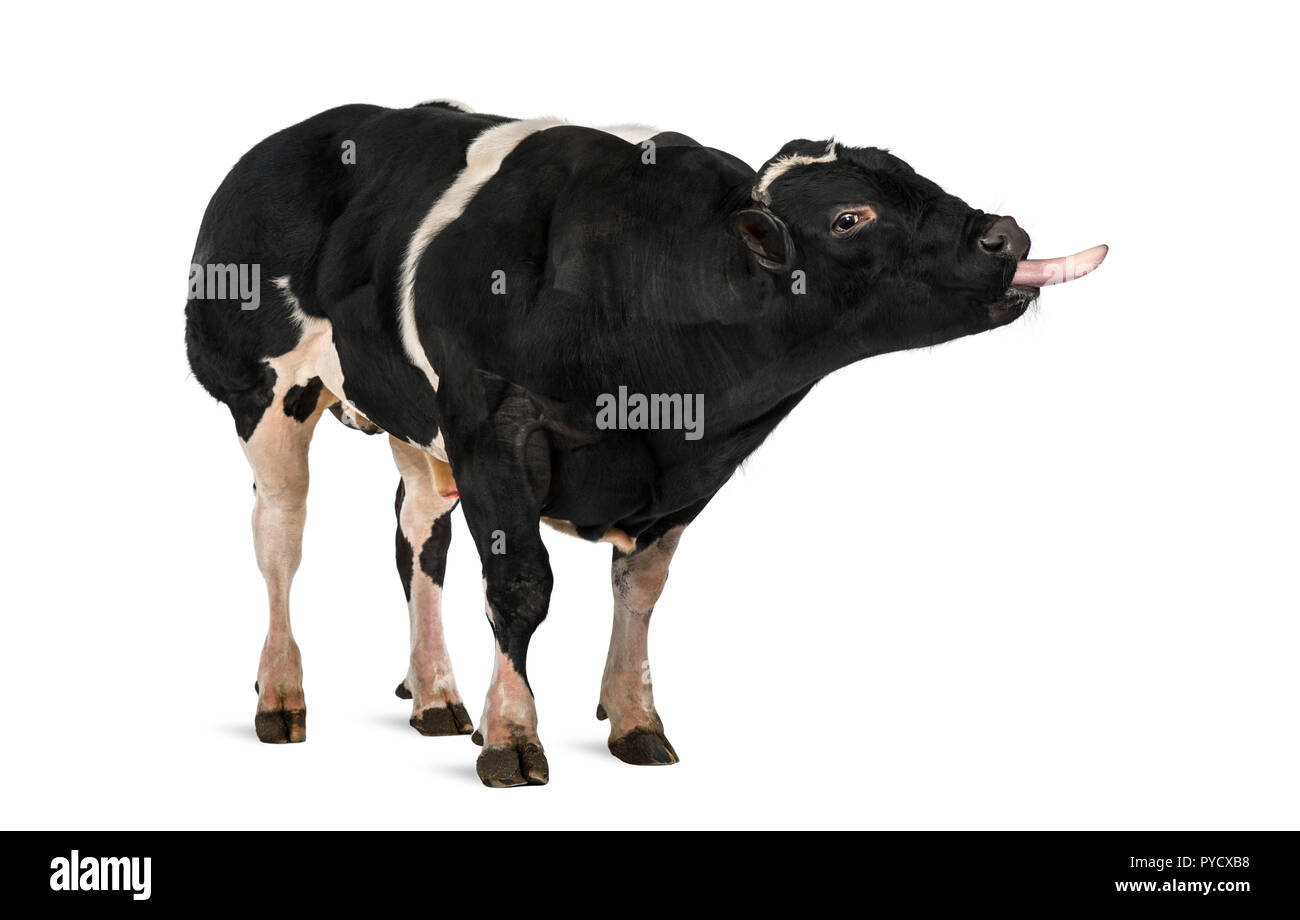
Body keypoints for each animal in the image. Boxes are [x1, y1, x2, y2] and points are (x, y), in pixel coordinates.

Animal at [185, 99, 1107, 787]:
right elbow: (521, 586)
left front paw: (633, 720)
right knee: (280, 536)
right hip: (262, 393)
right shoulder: (490, 423)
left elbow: (641, 590)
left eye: (919, 178)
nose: (1004, 235)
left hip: (414, 428)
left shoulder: (686, 467)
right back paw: (282, 696)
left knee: (417, 536)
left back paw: (436, 695)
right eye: (852, 217)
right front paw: (512, 737)